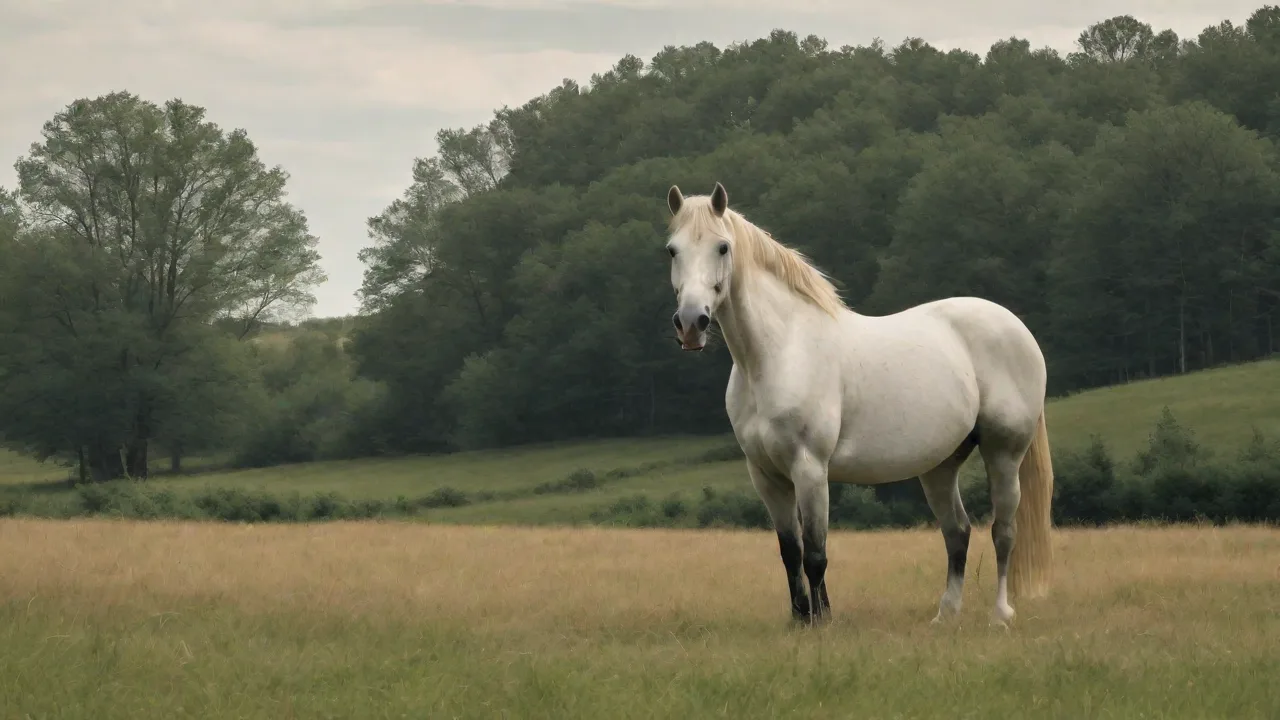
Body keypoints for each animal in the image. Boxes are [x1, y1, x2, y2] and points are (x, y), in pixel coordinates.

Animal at [662, 182, 1054, 627]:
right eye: (672, 250)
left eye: (723, 247)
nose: (691, 323)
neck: (781, 352)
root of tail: (1016, 327)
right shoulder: (767, 477)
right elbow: (790, 552)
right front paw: (799, 620)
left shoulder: (810, 469)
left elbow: (816, 554)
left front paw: (822, 622)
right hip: (940, 466)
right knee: (958, 532)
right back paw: (945, 615)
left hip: (1003, 454)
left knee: (1003, 532)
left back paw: (1000, 615)